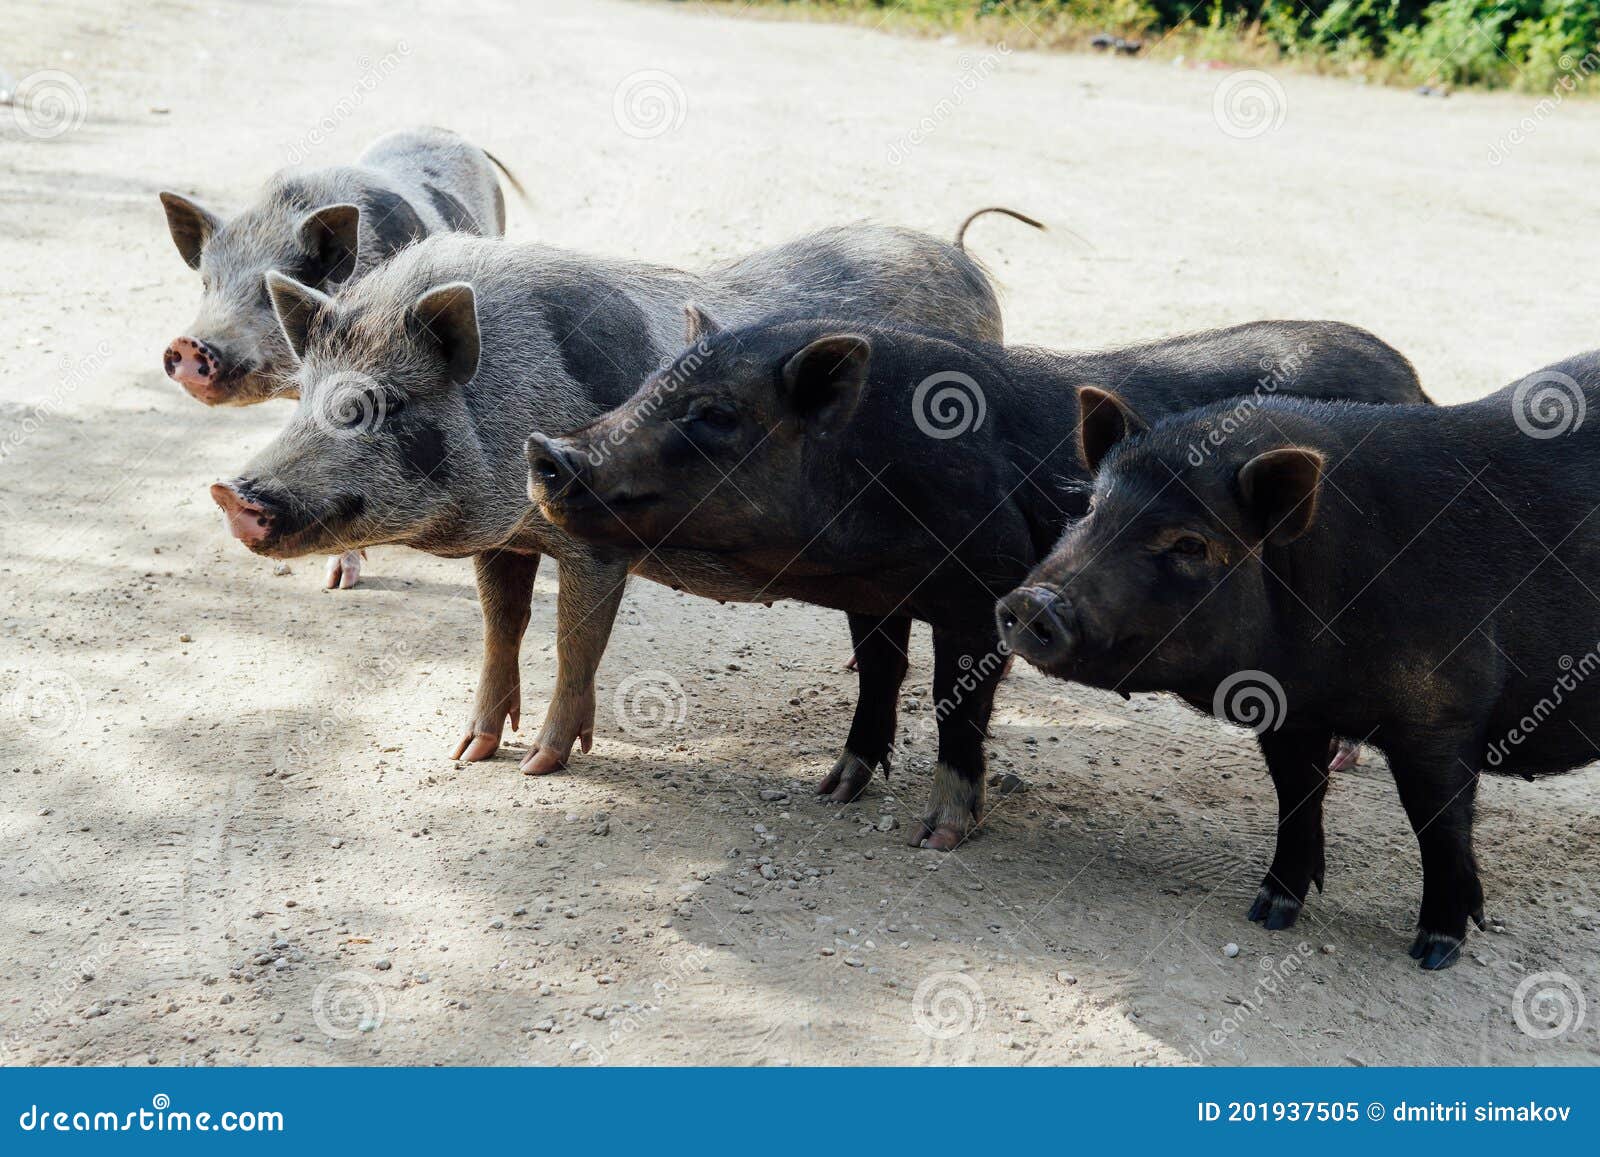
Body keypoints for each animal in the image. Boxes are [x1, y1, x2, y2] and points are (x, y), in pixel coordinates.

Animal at [161, 126, 520, 588]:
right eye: (207, 284)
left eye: (267, 291)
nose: (189, 344)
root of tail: (445, 132)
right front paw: (334, 583)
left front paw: (340, 582)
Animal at [209, 215, 1025, 776]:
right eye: (306, 396)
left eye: (383, 404)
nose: (233, 491)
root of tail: (969, 266)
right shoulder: (507, 538)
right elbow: (501, 626)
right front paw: (468, 752)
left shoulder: (590, 542)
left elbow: (575, 639)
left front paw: (540, 765)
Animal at [527, 317, 1426, 851]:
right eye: (651, 384)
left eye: (715, 414)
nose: (547, 449)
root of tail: (1416, 383)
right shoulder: (872, 595)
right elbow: (880, 676)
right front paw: (832, 792)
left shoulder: (980, 585)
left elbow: (954, 698)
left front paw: (939, 835)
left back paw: (1346, 760)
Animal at [996, 354, 1600, 968]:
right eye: (1091, 509)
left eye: (1190, 544)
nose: (1031, 602)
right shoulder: (1289, 710)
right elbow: (1295, 796)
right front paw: (1268, 914)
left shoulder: (1445, 712)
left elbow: (1438, 825)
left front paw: (1434, 951)